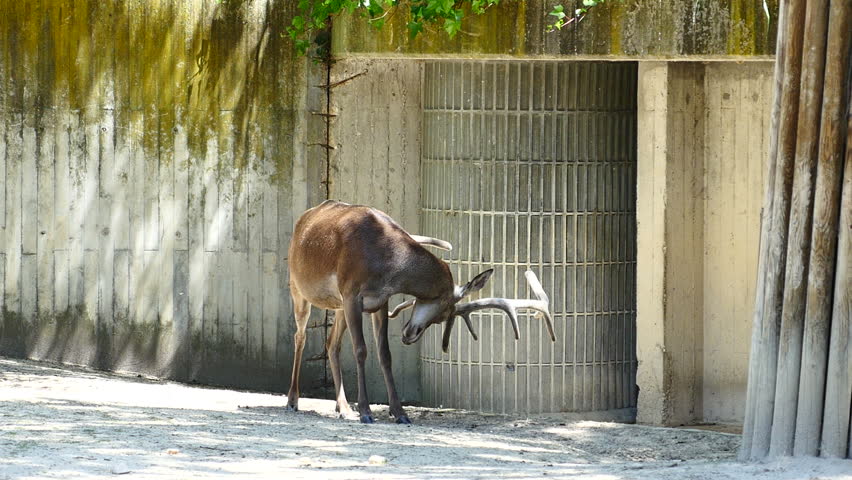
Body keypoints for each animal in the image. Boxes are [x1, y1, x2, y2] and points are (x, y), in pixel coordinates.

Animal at [286, 200, 555, 424]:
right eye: (443, 314)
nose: (410, 334)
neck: (385, 261)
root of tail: (304, 217)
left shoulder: (380, 301)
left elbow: (385, 354)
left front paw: (400, 413)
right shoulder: (352, 292)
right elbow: (361, 350)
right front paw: (365, 412)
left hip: (339, 305)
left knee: (332, 344)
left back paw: (342, 407)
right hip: (298, 288)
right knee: (300, 336)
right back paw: (293, 400)